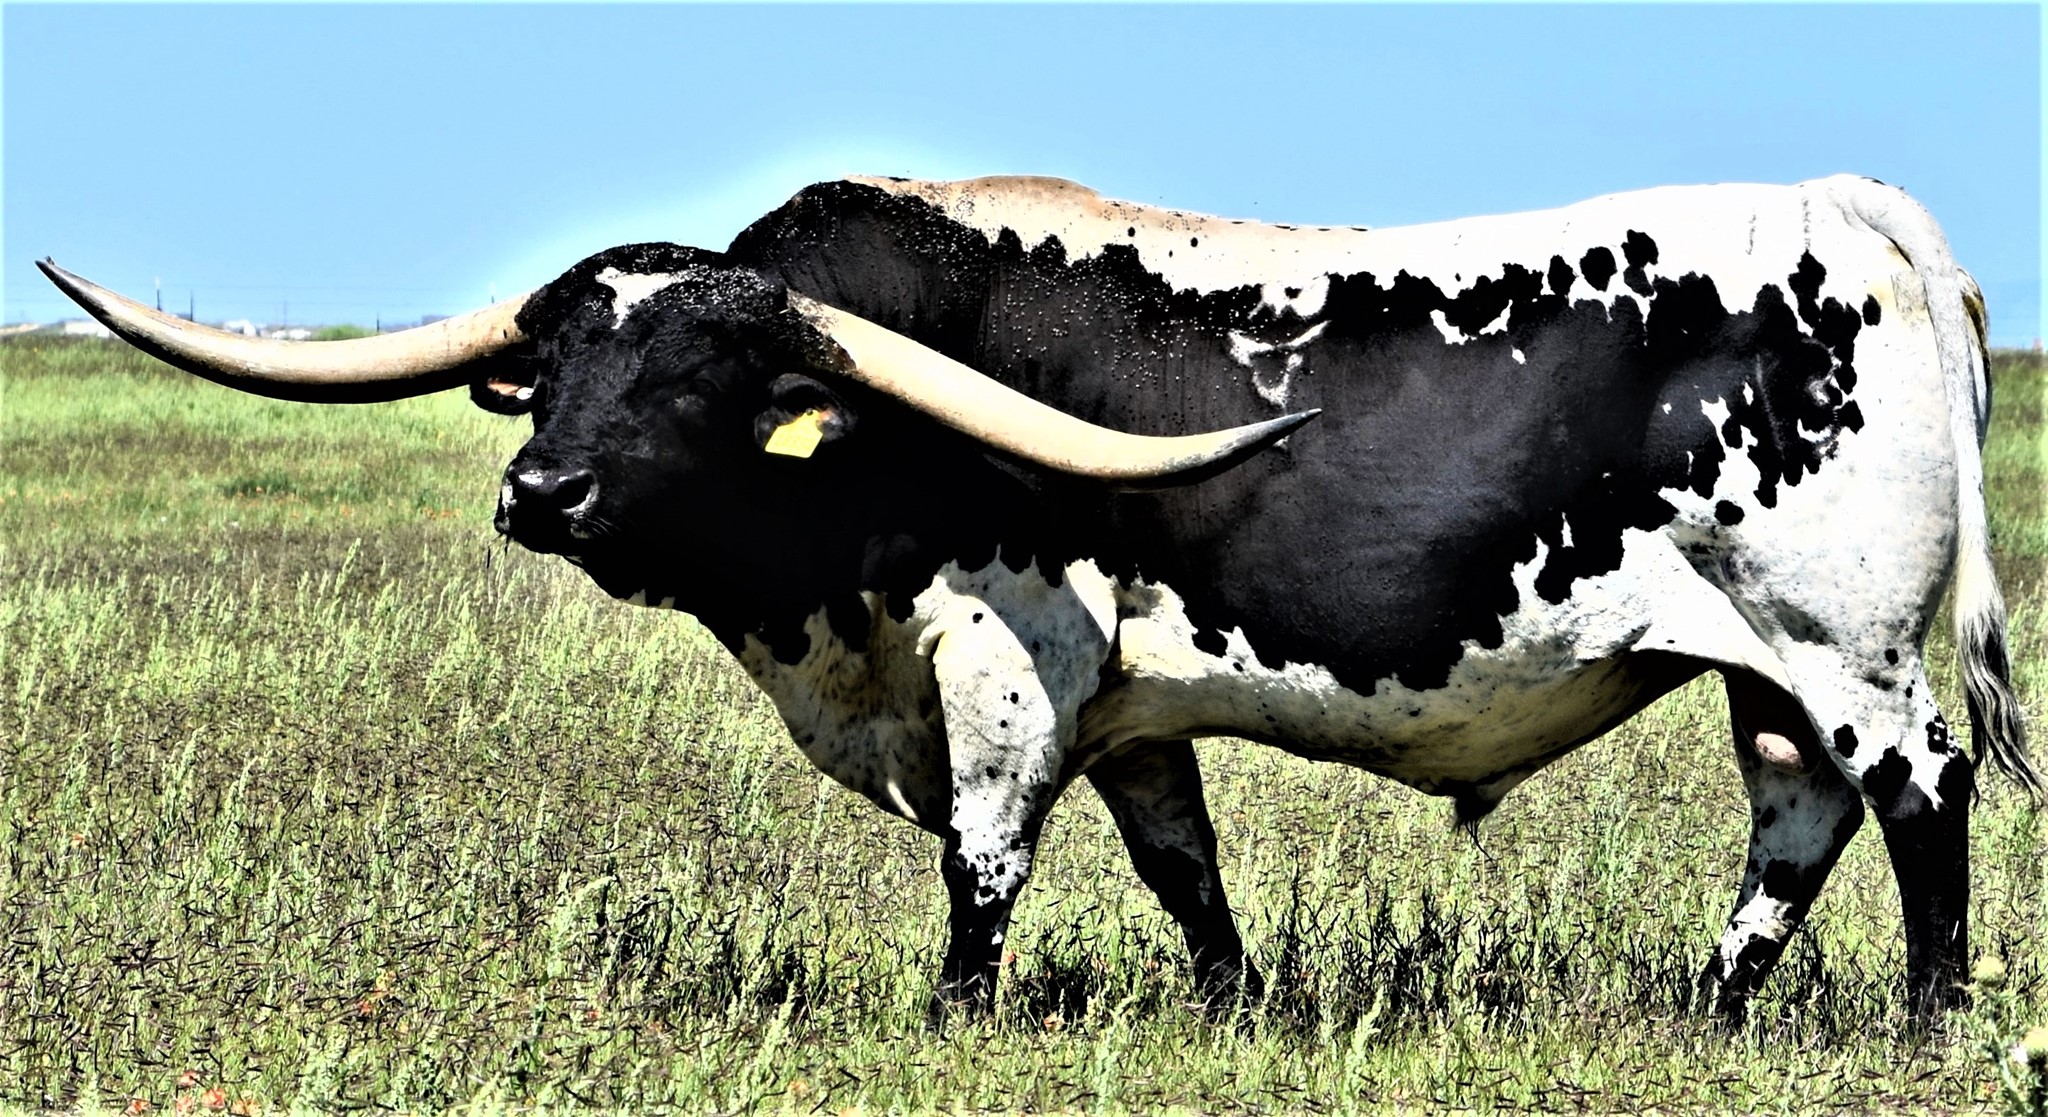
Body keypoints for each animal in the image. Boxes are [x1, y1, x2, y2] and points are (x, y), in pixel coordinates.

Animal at [42, 172, 2039, 1023]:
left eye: (697, 382)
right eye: (561, 373)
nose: (544, 493)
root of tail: (1849, 210)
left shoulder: (1009, 672)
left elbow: (984, 863)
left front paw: (953, 1015)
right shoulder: (1132, 711)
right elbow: (1184, 866)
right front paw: (1231, 1007)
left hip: (1846, 648)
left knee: (1919, 797)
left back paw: (1928, 1017)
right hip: (1766, 664)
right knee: (1794, 823)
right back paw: (1704, 1009)